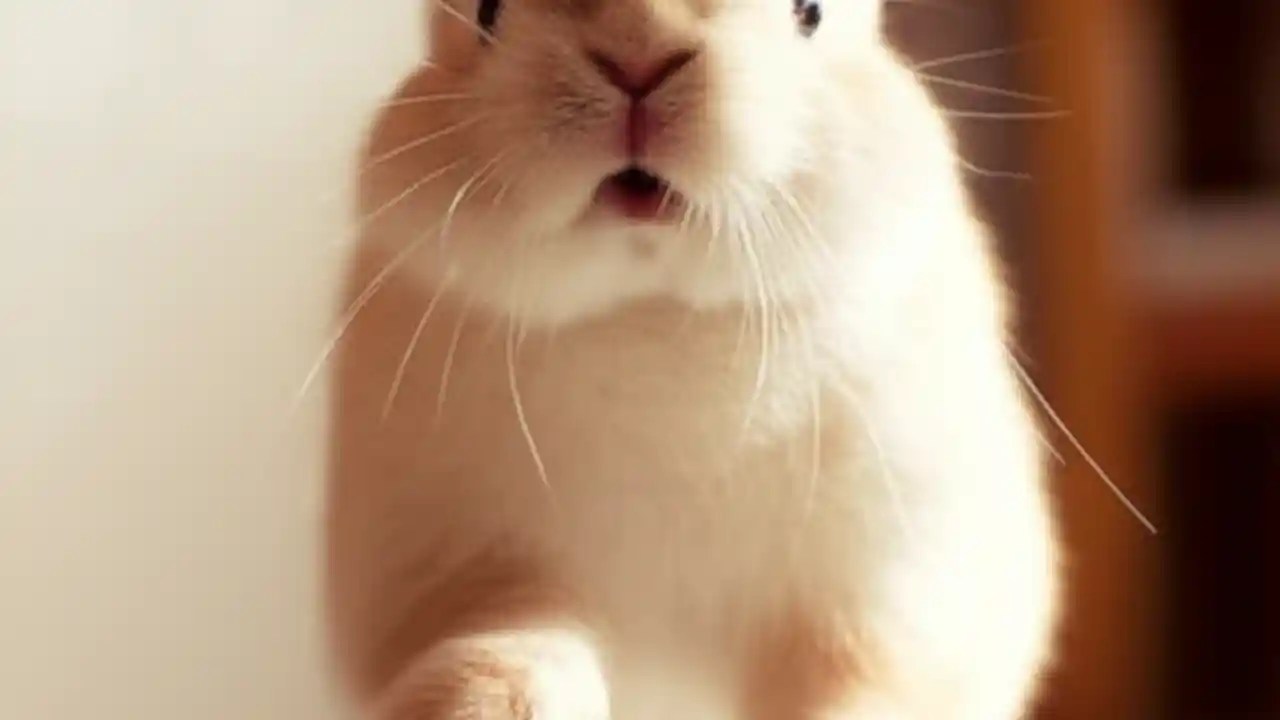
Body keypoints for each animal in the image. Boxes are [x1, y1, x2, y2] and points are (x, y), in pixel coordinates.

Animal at [326, 1, 1059, 718]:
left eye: (810, 14)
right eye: (487, 17)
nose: (638, 58)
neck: (654, 310)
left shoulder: (877, 601)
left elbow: (859, 686)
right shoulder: (467, 569)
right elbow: (509, 640)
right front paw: (490, 708)